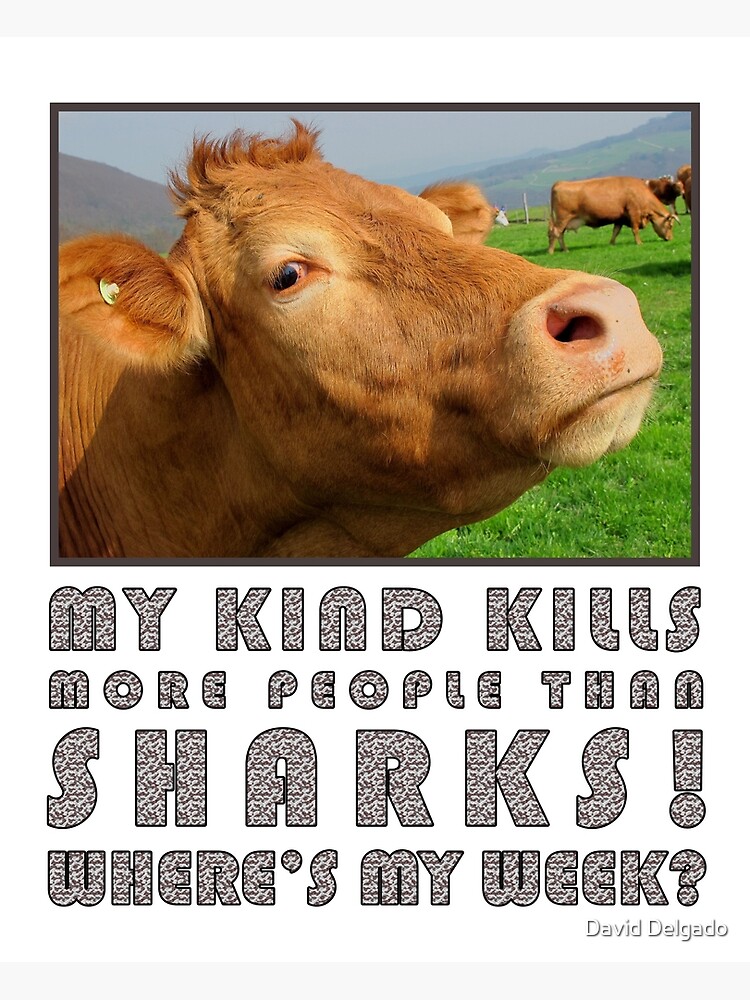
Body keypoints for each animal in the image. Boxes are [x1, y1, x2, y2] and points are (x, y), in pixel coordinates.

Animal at [548, 176, 678, 254]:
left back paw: (564, 249)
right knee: (556, 233)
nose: (670, 238)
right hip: (563, 218)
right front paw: (639, 243)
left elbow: (616, 231)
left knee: (559, 234)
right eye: (670, 225)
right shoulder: (633, 212)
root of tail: (559, 183)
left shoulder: (620, 218)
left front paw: (612, 243)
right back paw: (553, 251)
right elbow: (635, 230)